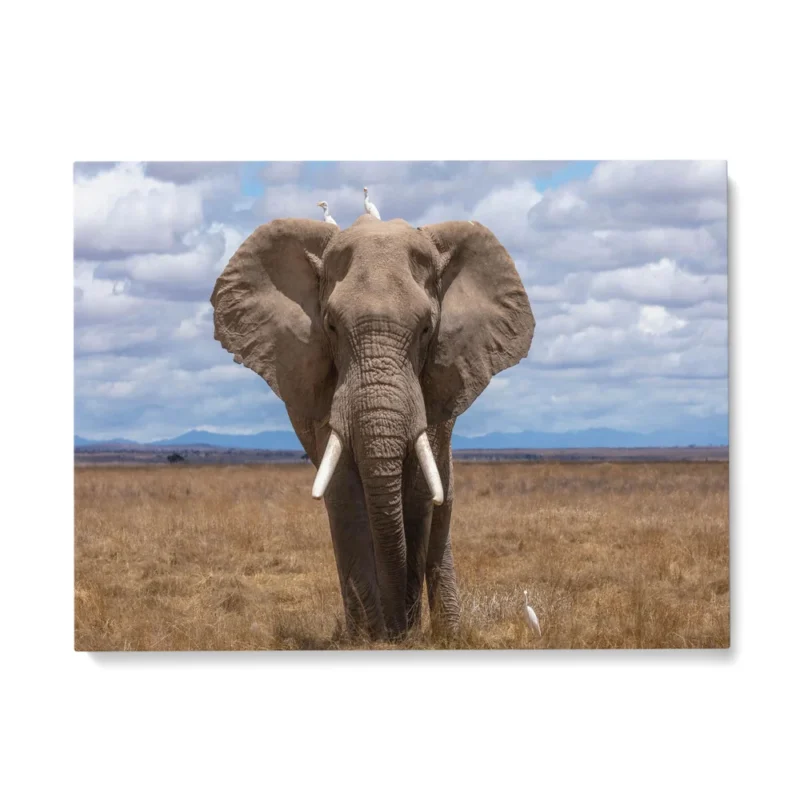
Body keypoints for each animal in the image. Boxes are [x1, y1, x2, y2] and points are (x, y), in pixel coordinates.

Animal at [210, 213, 535, 641]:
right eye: (330, 326)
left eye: (427, 329)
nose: (398, 631)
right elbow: (343, 491)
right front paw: (370, 637)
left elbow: (419, 492)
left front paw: (406, 634)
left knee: (442, 502)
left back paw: (448, 634)